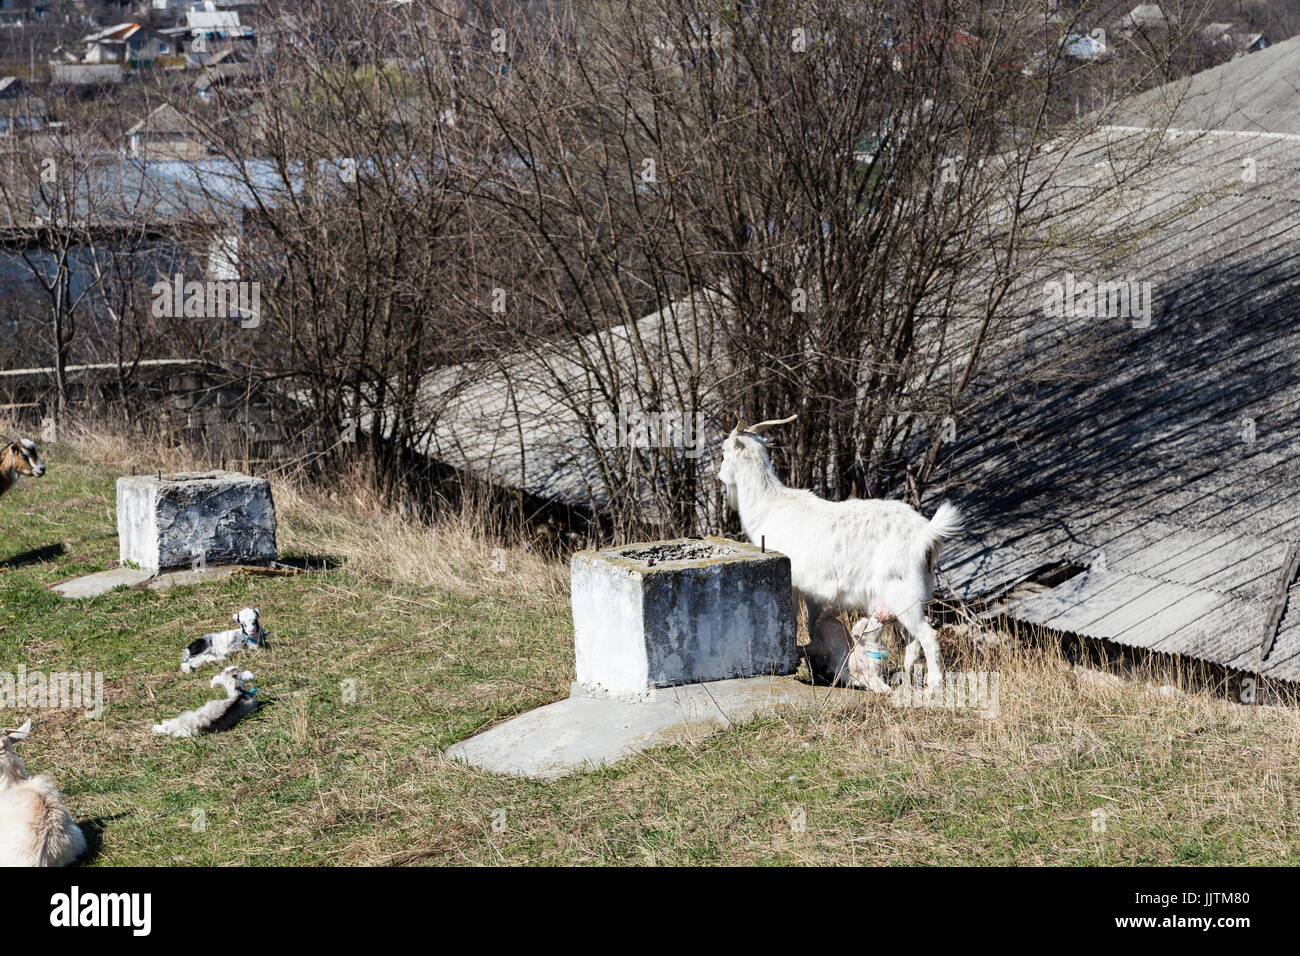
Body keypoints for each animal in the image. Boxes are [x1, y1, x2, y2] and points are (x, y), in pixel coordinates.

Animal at [716, 414, 961, 689]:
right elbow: (813, 626)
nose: (719, 474)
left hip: (903, 594)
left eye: (724, 450)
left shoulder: (792, 584)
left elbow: (794, 622)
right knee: (912, 642)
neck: (770, 507)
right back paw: (907, 680)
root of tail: (926, 534)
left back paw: (934, 687)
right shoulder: (813, 593)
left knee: (928, 636)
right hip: (913, 597)